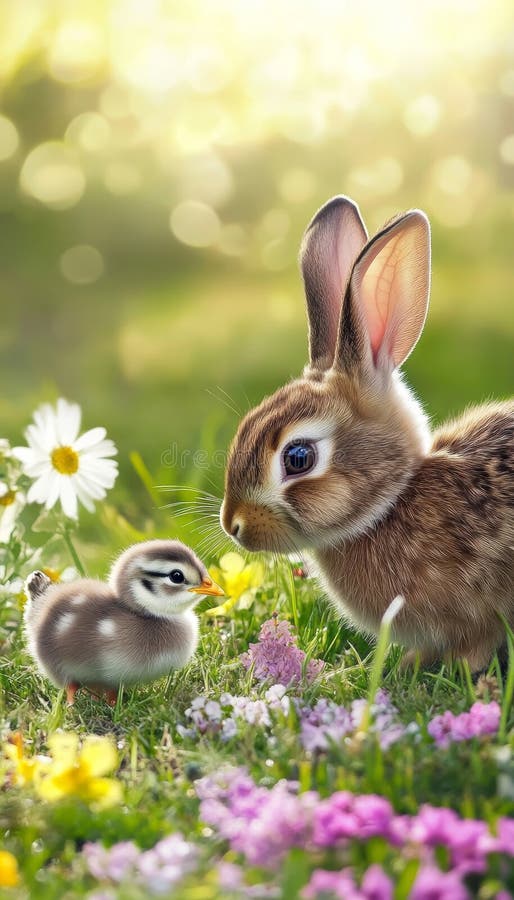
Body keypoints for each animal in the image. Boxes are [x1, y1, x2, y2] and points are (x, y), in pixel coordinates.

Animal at [220, 195, 514, 671]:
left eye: (298, 458)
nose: (233, 525)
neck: (393, 501)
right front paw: (409, 663)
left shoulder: (480, 616)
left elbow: (474, 648)